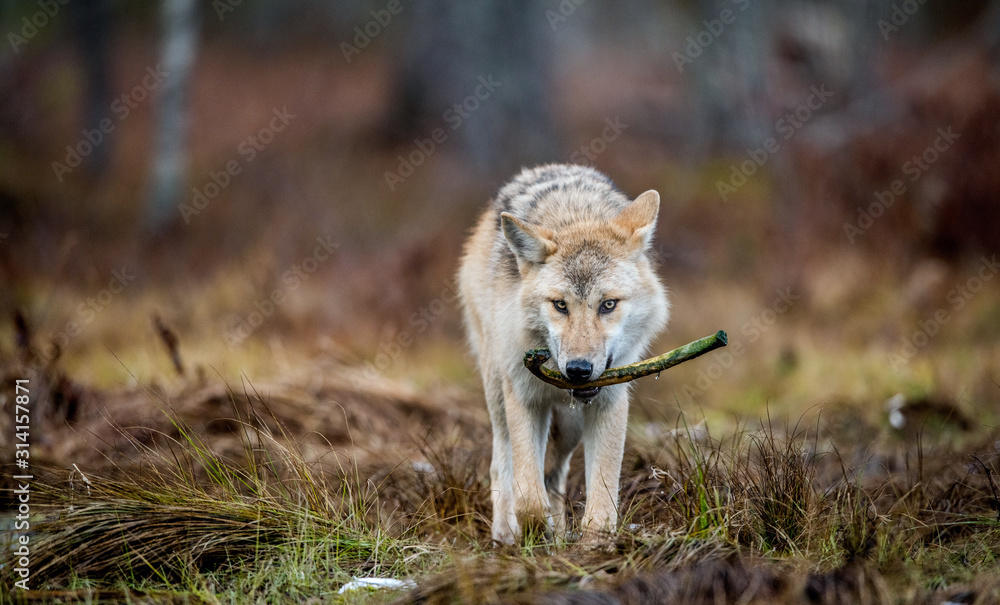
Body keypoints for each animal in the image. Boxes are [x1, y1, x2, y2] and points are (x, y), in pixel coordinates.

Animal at [457, 164, 669, 544]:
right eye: (560, 305)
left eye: (608, 304)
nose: (579, 370)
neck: (575, 213)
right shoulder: (524, 399)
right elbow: (528, 498)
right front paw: (532, 532)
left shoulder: (610, 402)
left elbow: (601, 496)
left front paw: (593, 545)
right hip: (498, 396)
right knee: (503, 466)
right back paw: (505, 533)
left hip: (571, 428)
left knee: (555, 475)